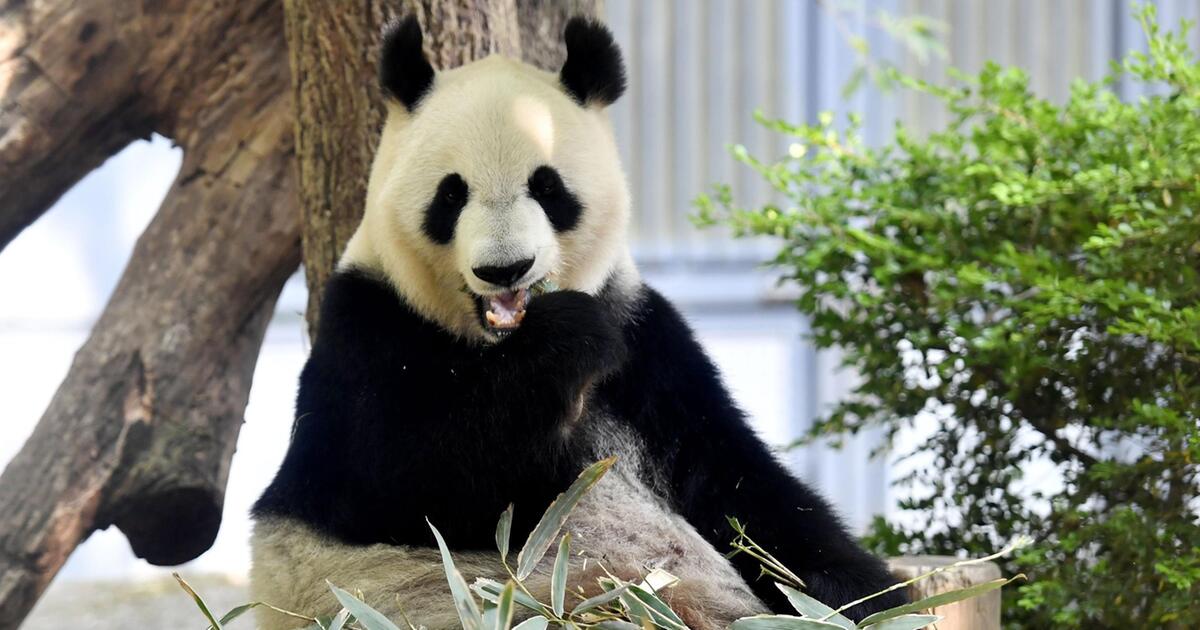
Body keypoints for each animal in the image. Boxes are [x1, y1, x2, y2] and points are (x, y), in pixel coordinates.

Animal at [249, 15, 905, 630]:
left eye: (547, 186)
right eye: (451, 194)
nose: (505, 268)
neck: (493, 345)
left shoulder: (645, 343)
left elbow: (737, 483)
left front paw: (865, 594)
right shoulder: (366, 324)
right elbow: (404, 480)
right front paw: (565, 340)